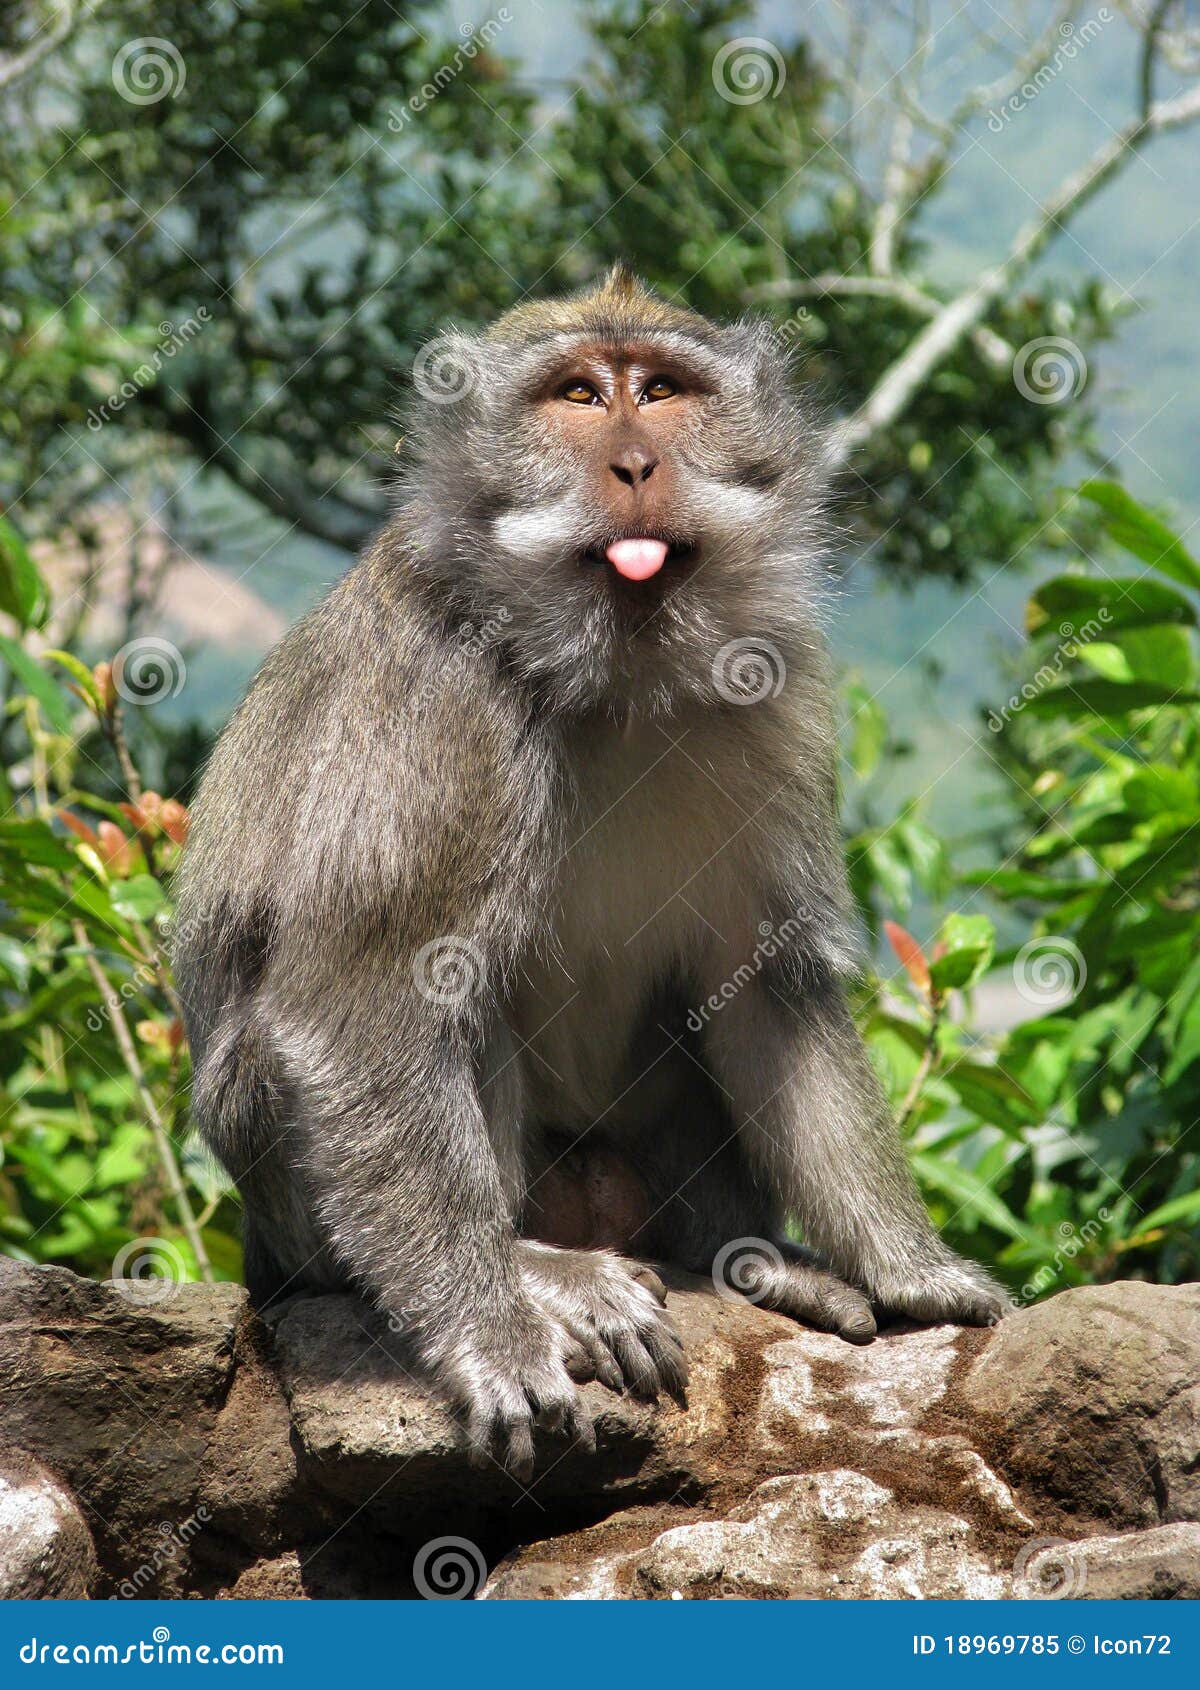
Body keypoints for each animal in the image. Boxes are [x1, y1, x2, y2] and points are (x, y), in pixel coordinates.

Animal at [174, 266, 1007, 1481]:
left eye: (659, 391)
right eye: (576, 395)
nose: (635, 464)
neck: (614, 677)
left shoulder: (777, 694)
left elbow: (769, 984)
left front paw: (910, 1265)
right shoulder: (441, 699)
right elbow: (362, 996)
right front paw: (487, 1329)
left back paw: (742, 1259)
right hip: (280, 1178)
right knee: (453, 989)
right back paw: (540, 1270)